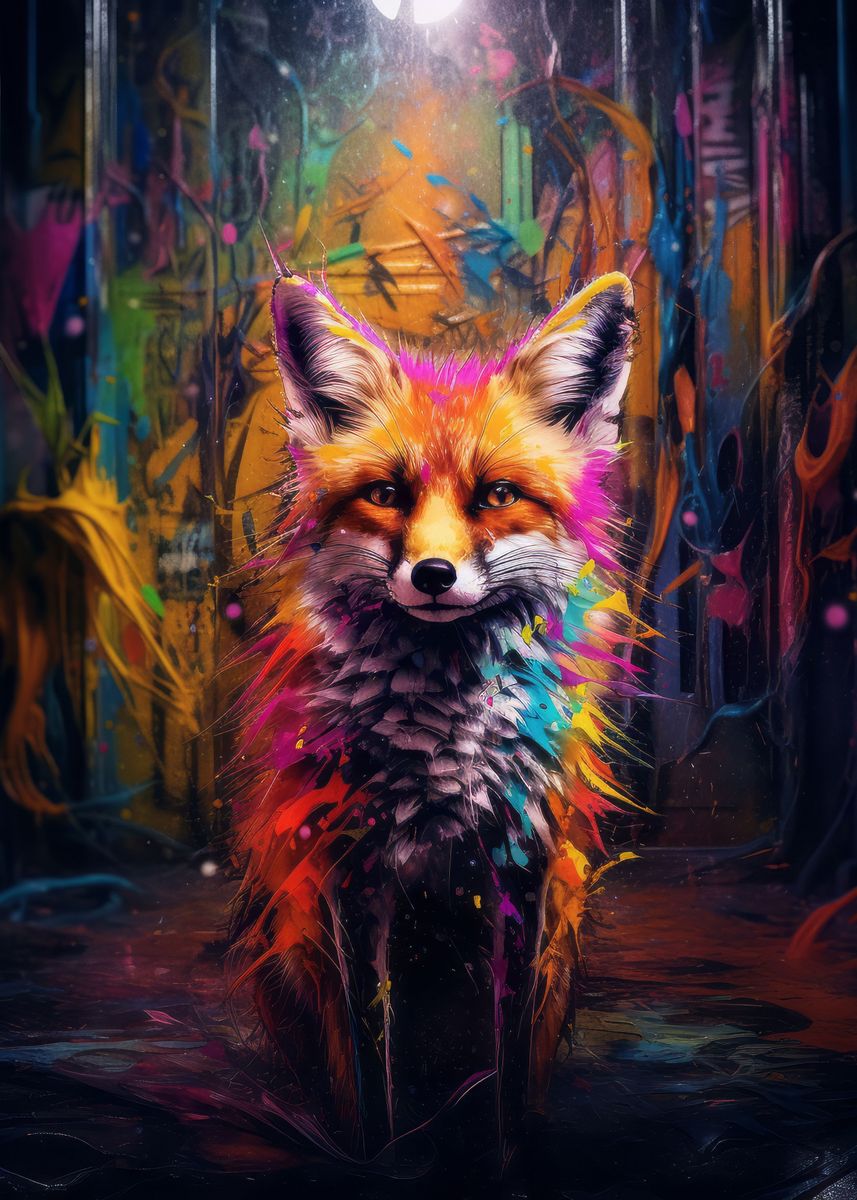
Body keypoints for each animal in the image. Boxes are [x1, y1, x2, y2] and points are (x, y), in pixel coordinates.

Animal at [229, 268, 639, 1170]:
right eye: (387, 494)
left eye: (496, 495)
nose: (433, 574)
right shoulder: (349, 873)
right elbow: (370, 1063)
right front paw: (378, 1162)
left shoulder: (521, 871)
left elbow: (509, 1066)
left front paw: (507, 1157)